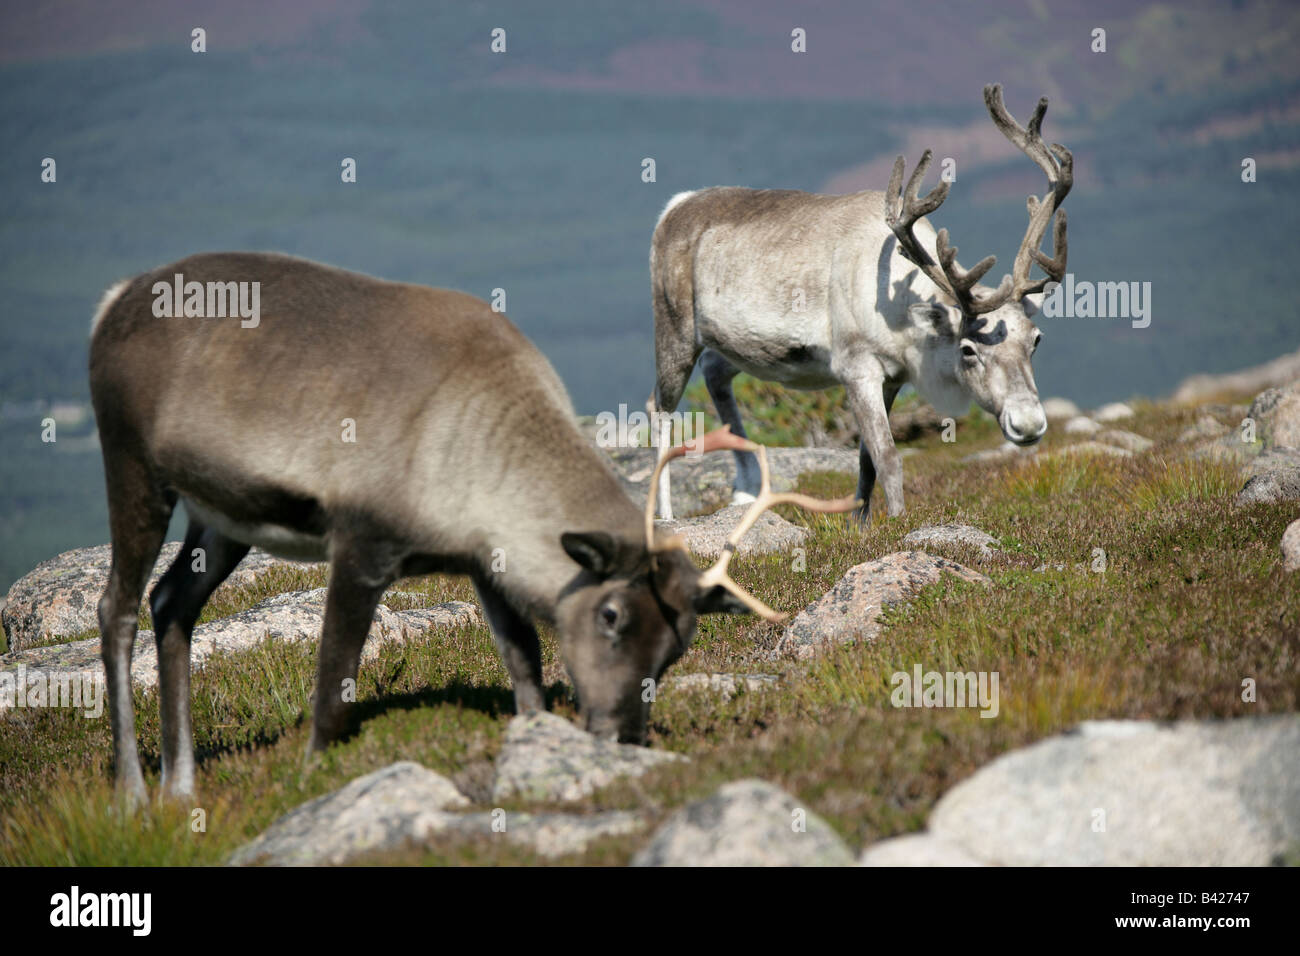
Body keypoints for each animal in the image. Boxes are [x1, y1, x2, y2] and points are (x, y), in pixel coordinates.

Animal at [88, 253, 857, 802]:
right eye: (611, 614)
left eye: (679, 645)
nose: (620, 735)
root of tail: (111, 301)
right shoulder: (362, 544)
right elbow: (335, 681)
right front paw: (311, 774)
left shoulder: (482, 562)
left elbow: (525, 667)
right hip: (133, 466)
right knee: (117, 606)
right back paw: (132, 789)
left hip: (222, 517)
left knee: (171, 603)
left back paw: (181, 783)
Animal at [647, 84, 1071, 520]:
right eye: (968, 349)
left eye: (1035, 340)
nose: (1028, 424)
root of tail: (673, 207)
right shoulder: (856, 367)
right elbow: (888, 456)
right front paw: (898, 521)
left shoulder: (893, 377)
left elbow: (867, 459)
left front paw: (860, 523)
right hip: (674, 327)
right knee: (659, 406)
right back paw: (665, 515)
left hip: (738, 345)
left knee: (715, 373)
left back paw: (746, 490)